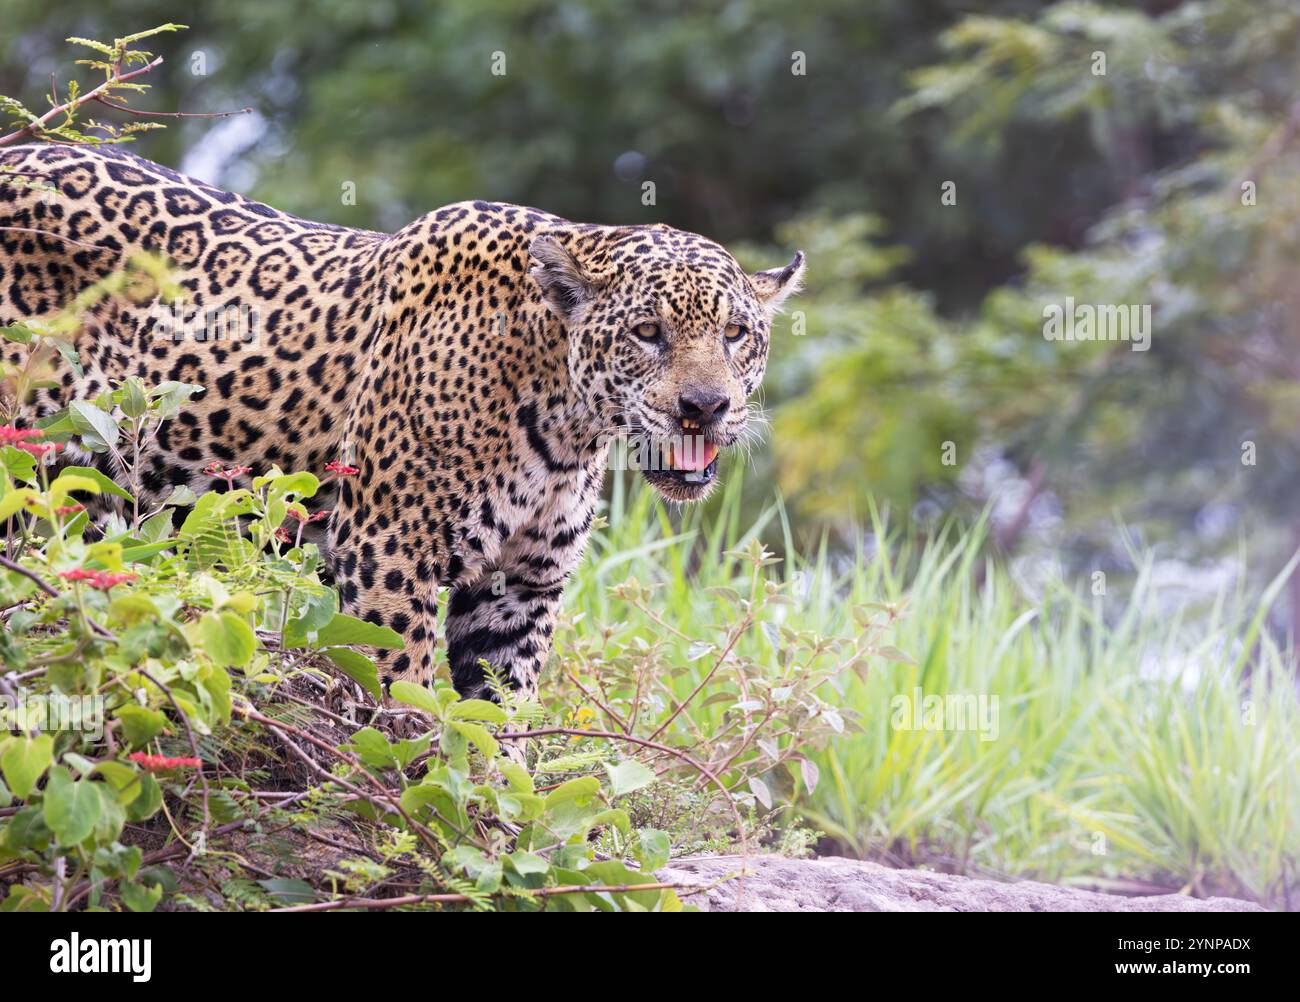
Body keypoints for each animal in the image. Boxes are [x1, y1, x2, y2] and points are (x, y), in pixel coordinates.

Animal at [0, 142, 804, 703]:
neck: (566, 424)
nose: (706, 406)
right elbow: (403, 687)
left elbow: (500, 721)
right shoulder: (388, 550)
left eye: (736, 333)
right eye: (647, 332)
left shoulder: (522, 588)